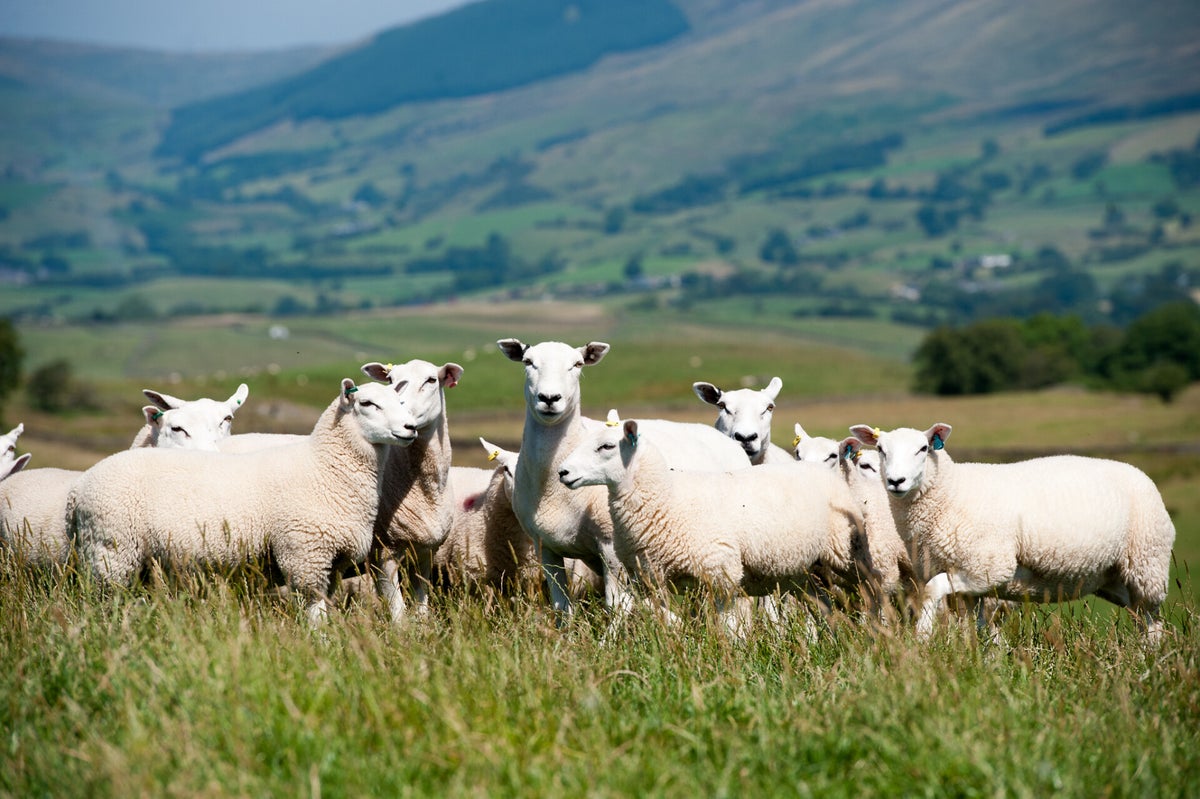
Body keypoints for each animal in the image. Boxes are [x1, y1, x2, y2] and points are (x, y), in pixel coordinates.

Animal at [69, 378, 412, 624]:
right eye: (367, 403)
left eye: (401, 402)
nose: (410, 428)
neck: (324, 466)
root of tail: (80, 487)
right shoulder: (305, 556)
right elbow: (315, 615)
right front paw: (321, 648)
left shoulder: (331, 562)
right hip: (111, 554)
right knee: (104, 602)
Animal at [497, 338, 753, 618]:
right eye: (528, 362)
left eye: (577, 364)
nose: (550, 398)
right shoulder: (546, 548)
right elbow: (561, 607)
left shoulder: (611, 547)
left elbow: (616, 605)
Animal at [556, 409, 869, 635]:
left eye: (607, 446)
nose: (563, 472)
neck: (667, 496)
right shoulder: (650, 578)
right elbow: (659, 613)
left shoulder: (722, 572)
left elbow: (728, 626)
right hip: (801, 570)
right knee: (822, 602)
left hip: (846, 553)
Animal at [848, 423, 1176, 643]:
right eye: (881, 450)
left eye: (923, 448)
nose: (896, 481)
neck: (951, 491)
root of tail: (1142, 474)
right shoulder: (965, 582)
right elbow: (969, 624)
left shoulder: (988, 568)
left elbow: (932, 590)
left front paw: (923, 637)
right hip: (1115, 578)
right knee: (1143, 618)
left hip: (1147, 565)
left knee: (1152, 622)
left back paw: (1150, 659)